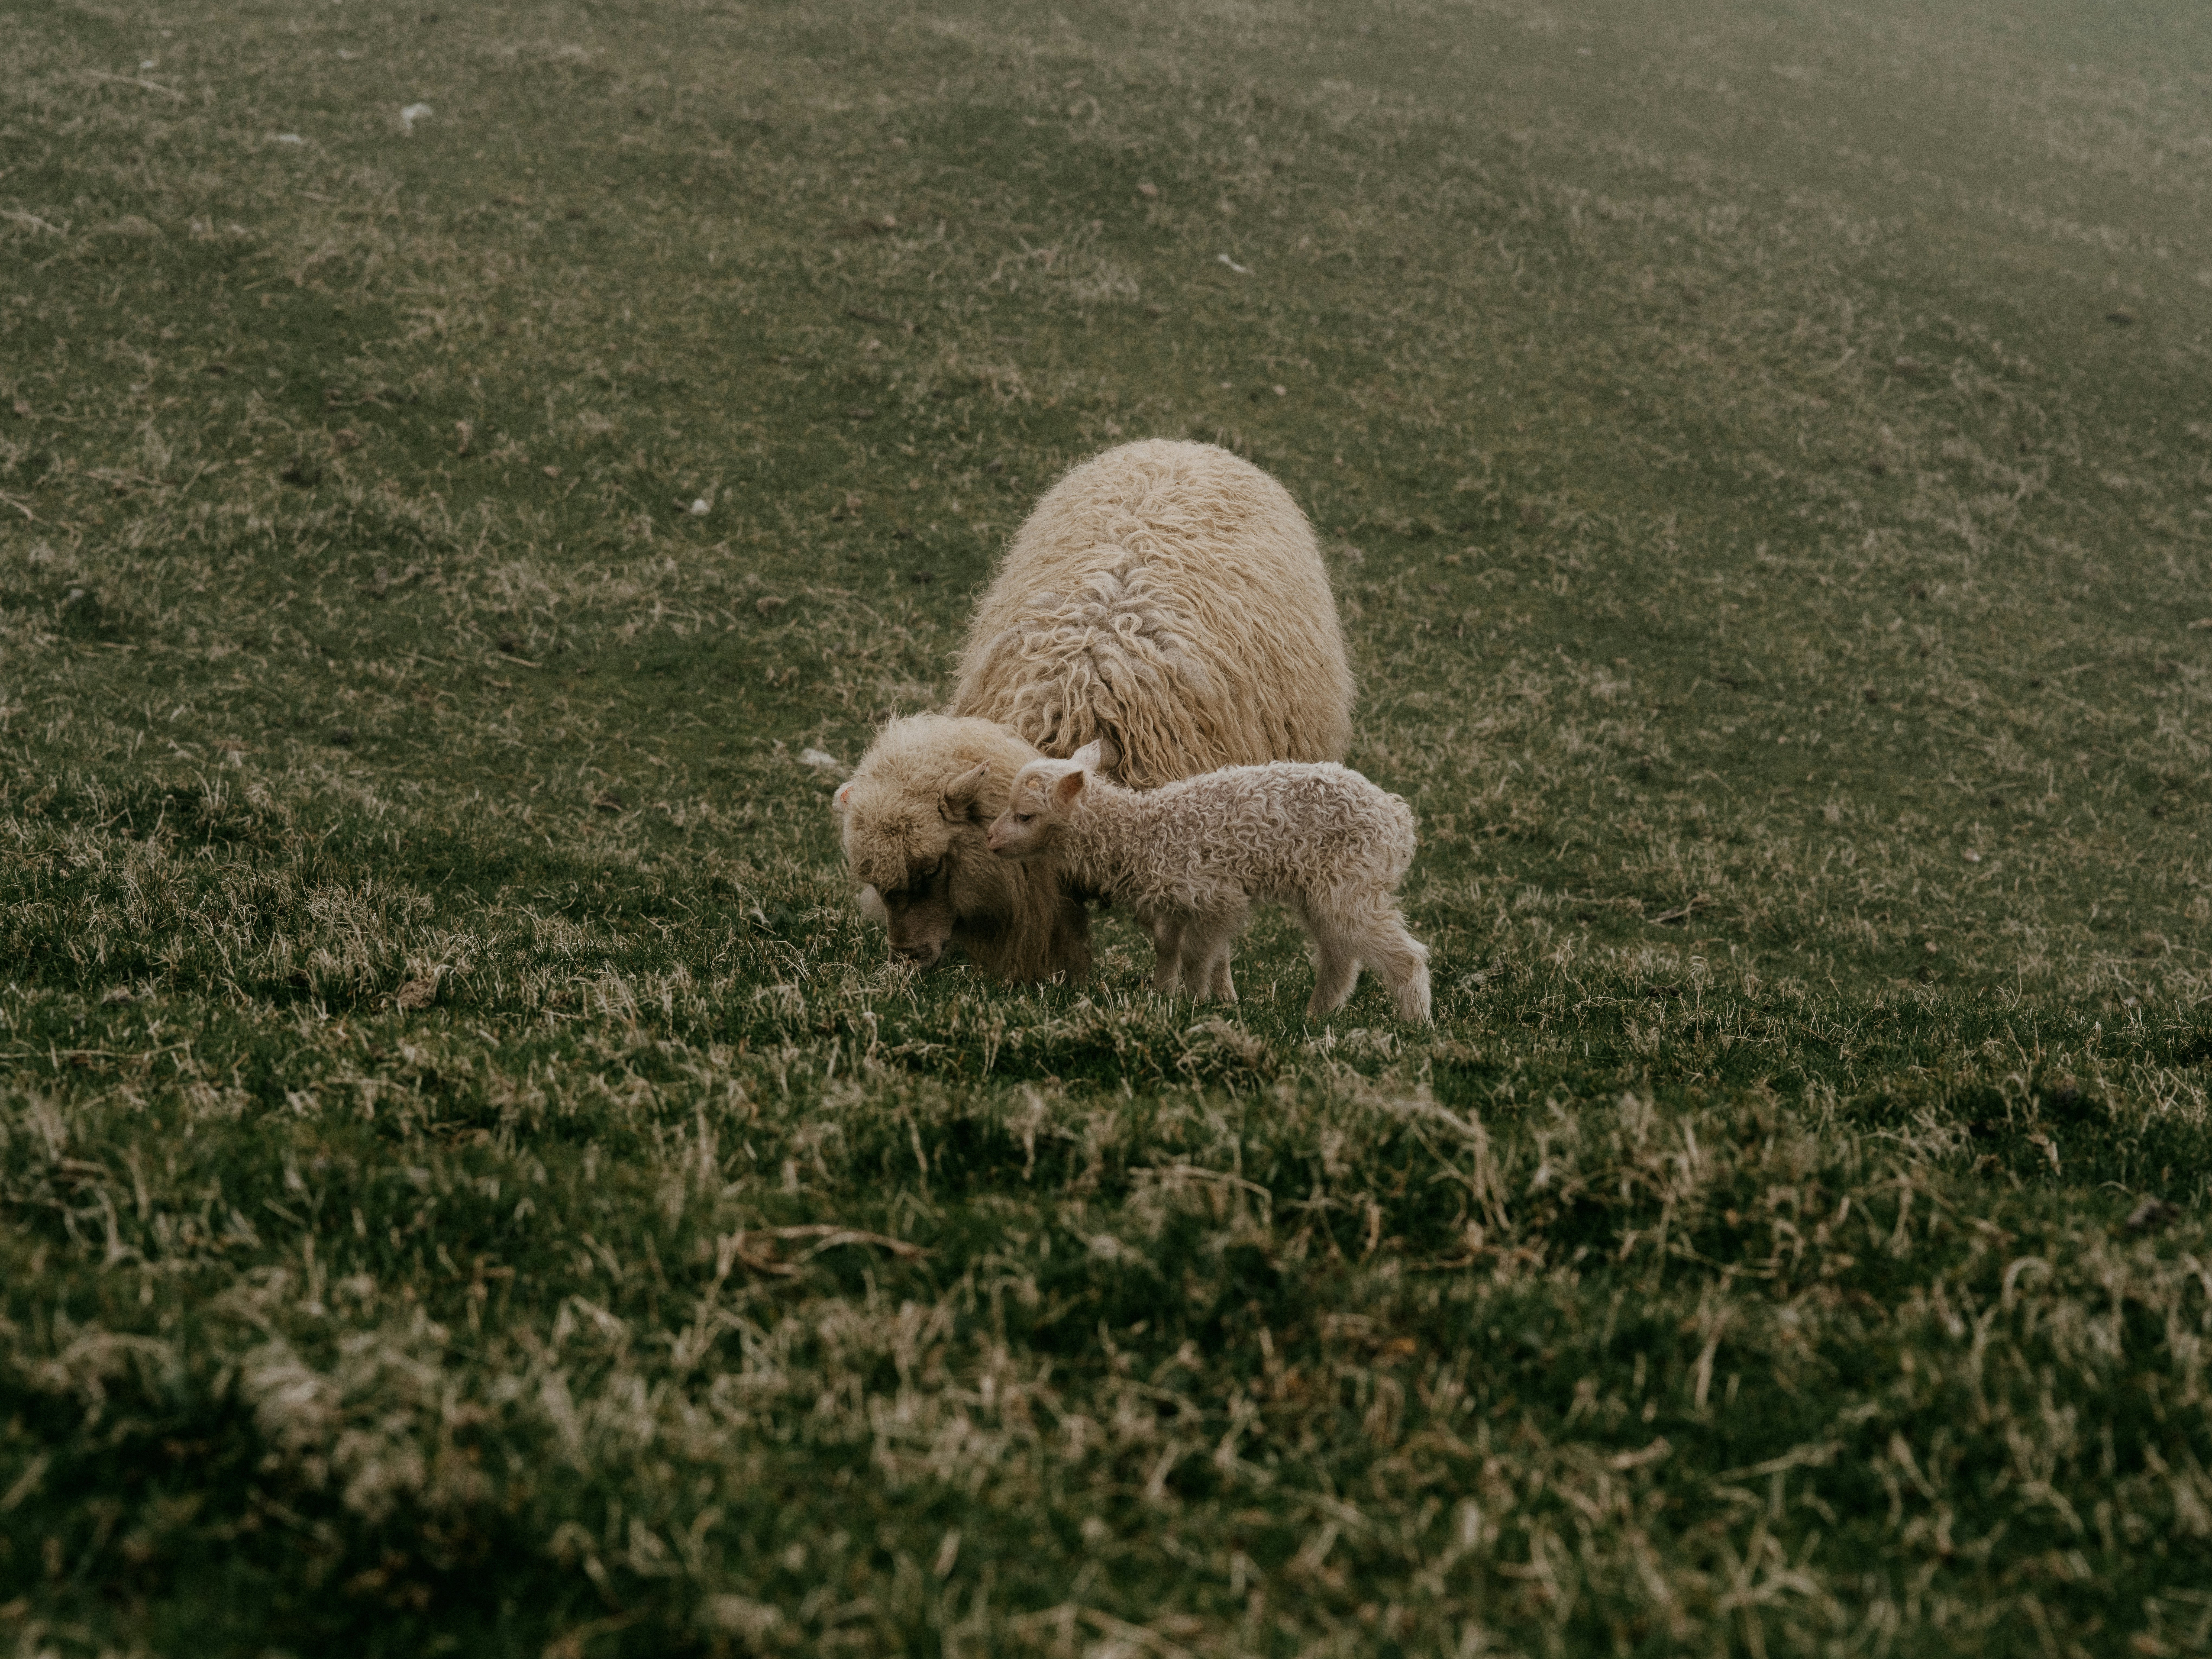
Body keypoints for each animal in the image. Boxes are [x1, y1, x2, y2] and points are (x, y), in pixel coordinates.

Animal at [837, 440, 1354, 980]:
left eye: (934, 866)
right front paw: (1068, 980)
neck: (1073, 713)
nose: (906, 958)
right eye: (880, 886)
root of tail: (1183, 445)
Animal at [984, 741, 1432, 1023]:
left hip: (1350, 883)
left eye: (1025, 816)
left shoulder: (1217, 896)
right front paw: (1170, 997)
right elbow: (1172, 949)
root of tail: (1399, 819)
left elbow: (1198, 954)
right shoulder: (1176, 904)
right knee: (1340, 955)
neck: (1141, 832)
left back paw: (1414, 1023)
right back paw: (1316, 1015)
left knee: (1401, 953)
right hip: (1325, 890)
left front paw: (1196, 1001)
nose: (990, 838)